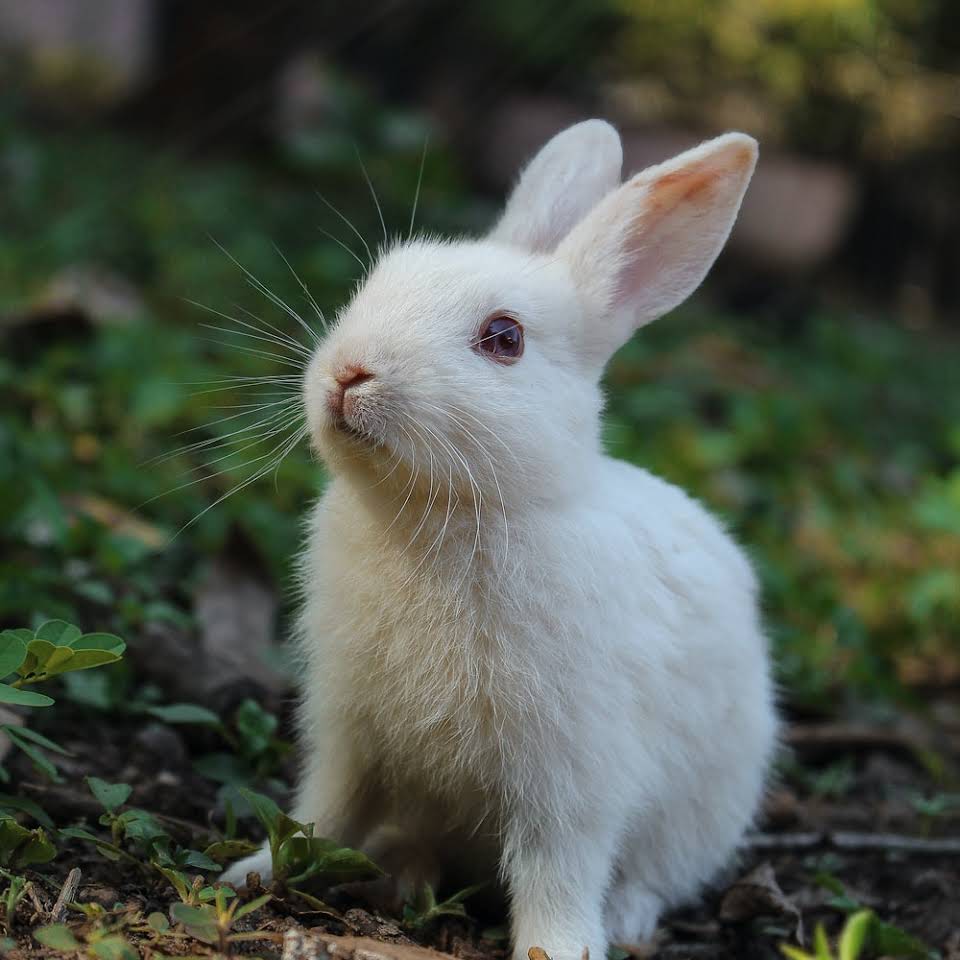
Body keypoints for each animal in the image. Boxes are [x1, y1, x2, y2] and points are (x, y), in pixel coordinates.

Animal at [223, 120, 778, 960]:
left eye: (504, 338)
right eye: (377, 282)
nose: (349, 373)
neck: (446, 514)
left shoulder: (572, 775)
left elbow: (558, 871)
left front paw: (560, 949)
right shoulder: (350, 731)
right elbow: (324, 810)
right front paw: (255, 872)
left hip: (702, 812)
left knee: (653, 875)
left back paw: (625, 920)